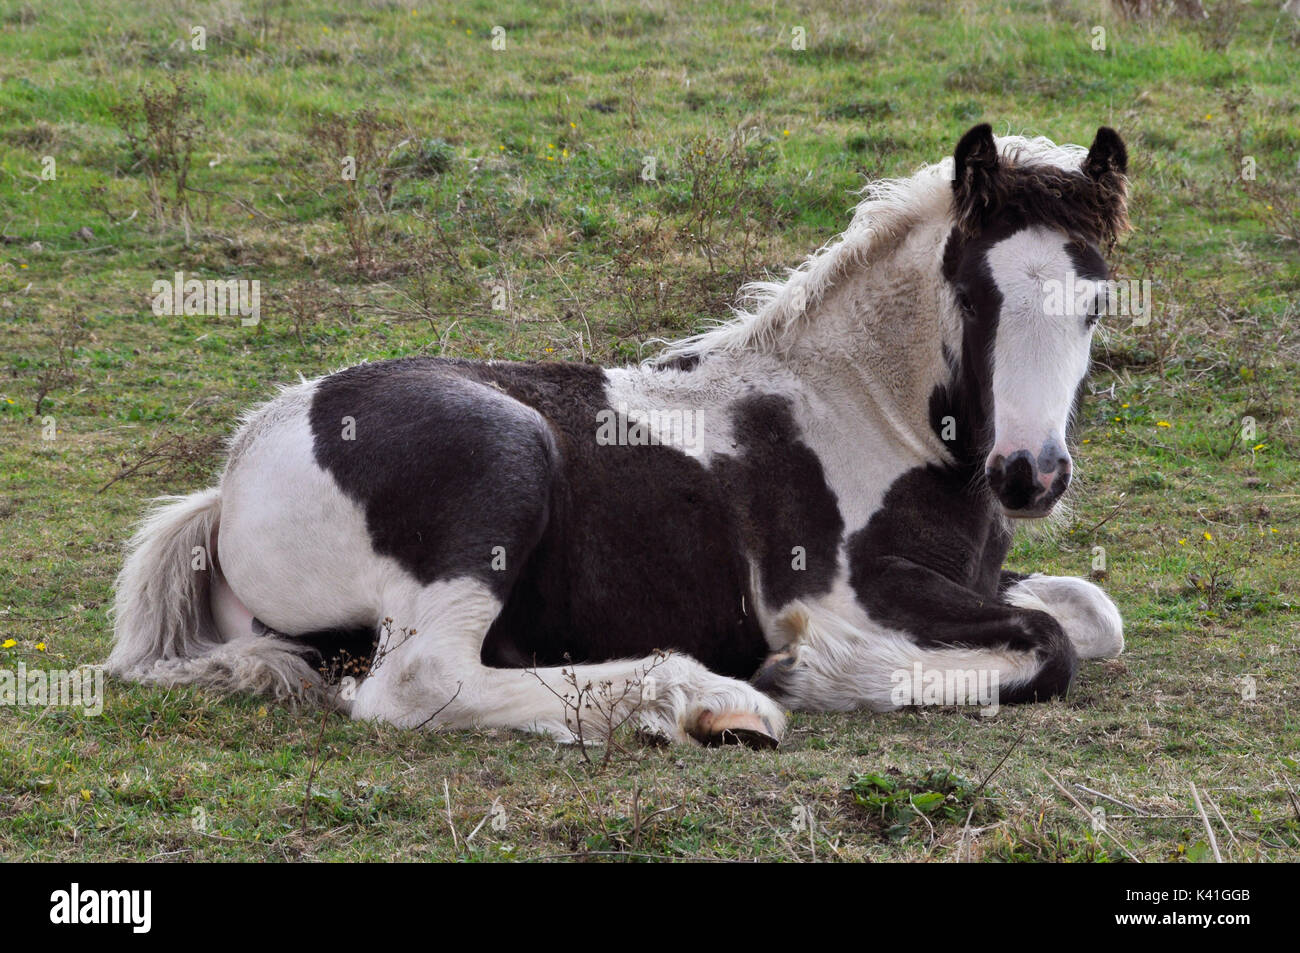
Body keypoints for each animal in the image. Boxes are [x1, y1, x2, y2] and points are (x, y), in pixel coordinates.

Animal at [109, 123, 1128, 749]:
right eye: (975, 294)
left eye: (1096, 300)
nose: (1030, 476)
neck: (865, 412)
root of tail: (230, 484)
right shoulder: (851, 591)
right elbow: (1051, 646)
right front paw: (818, 671)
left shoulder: (976, 579)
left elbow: (1091, 611)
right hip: (501, 460)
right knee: (418, 681)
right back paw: (710, 698)